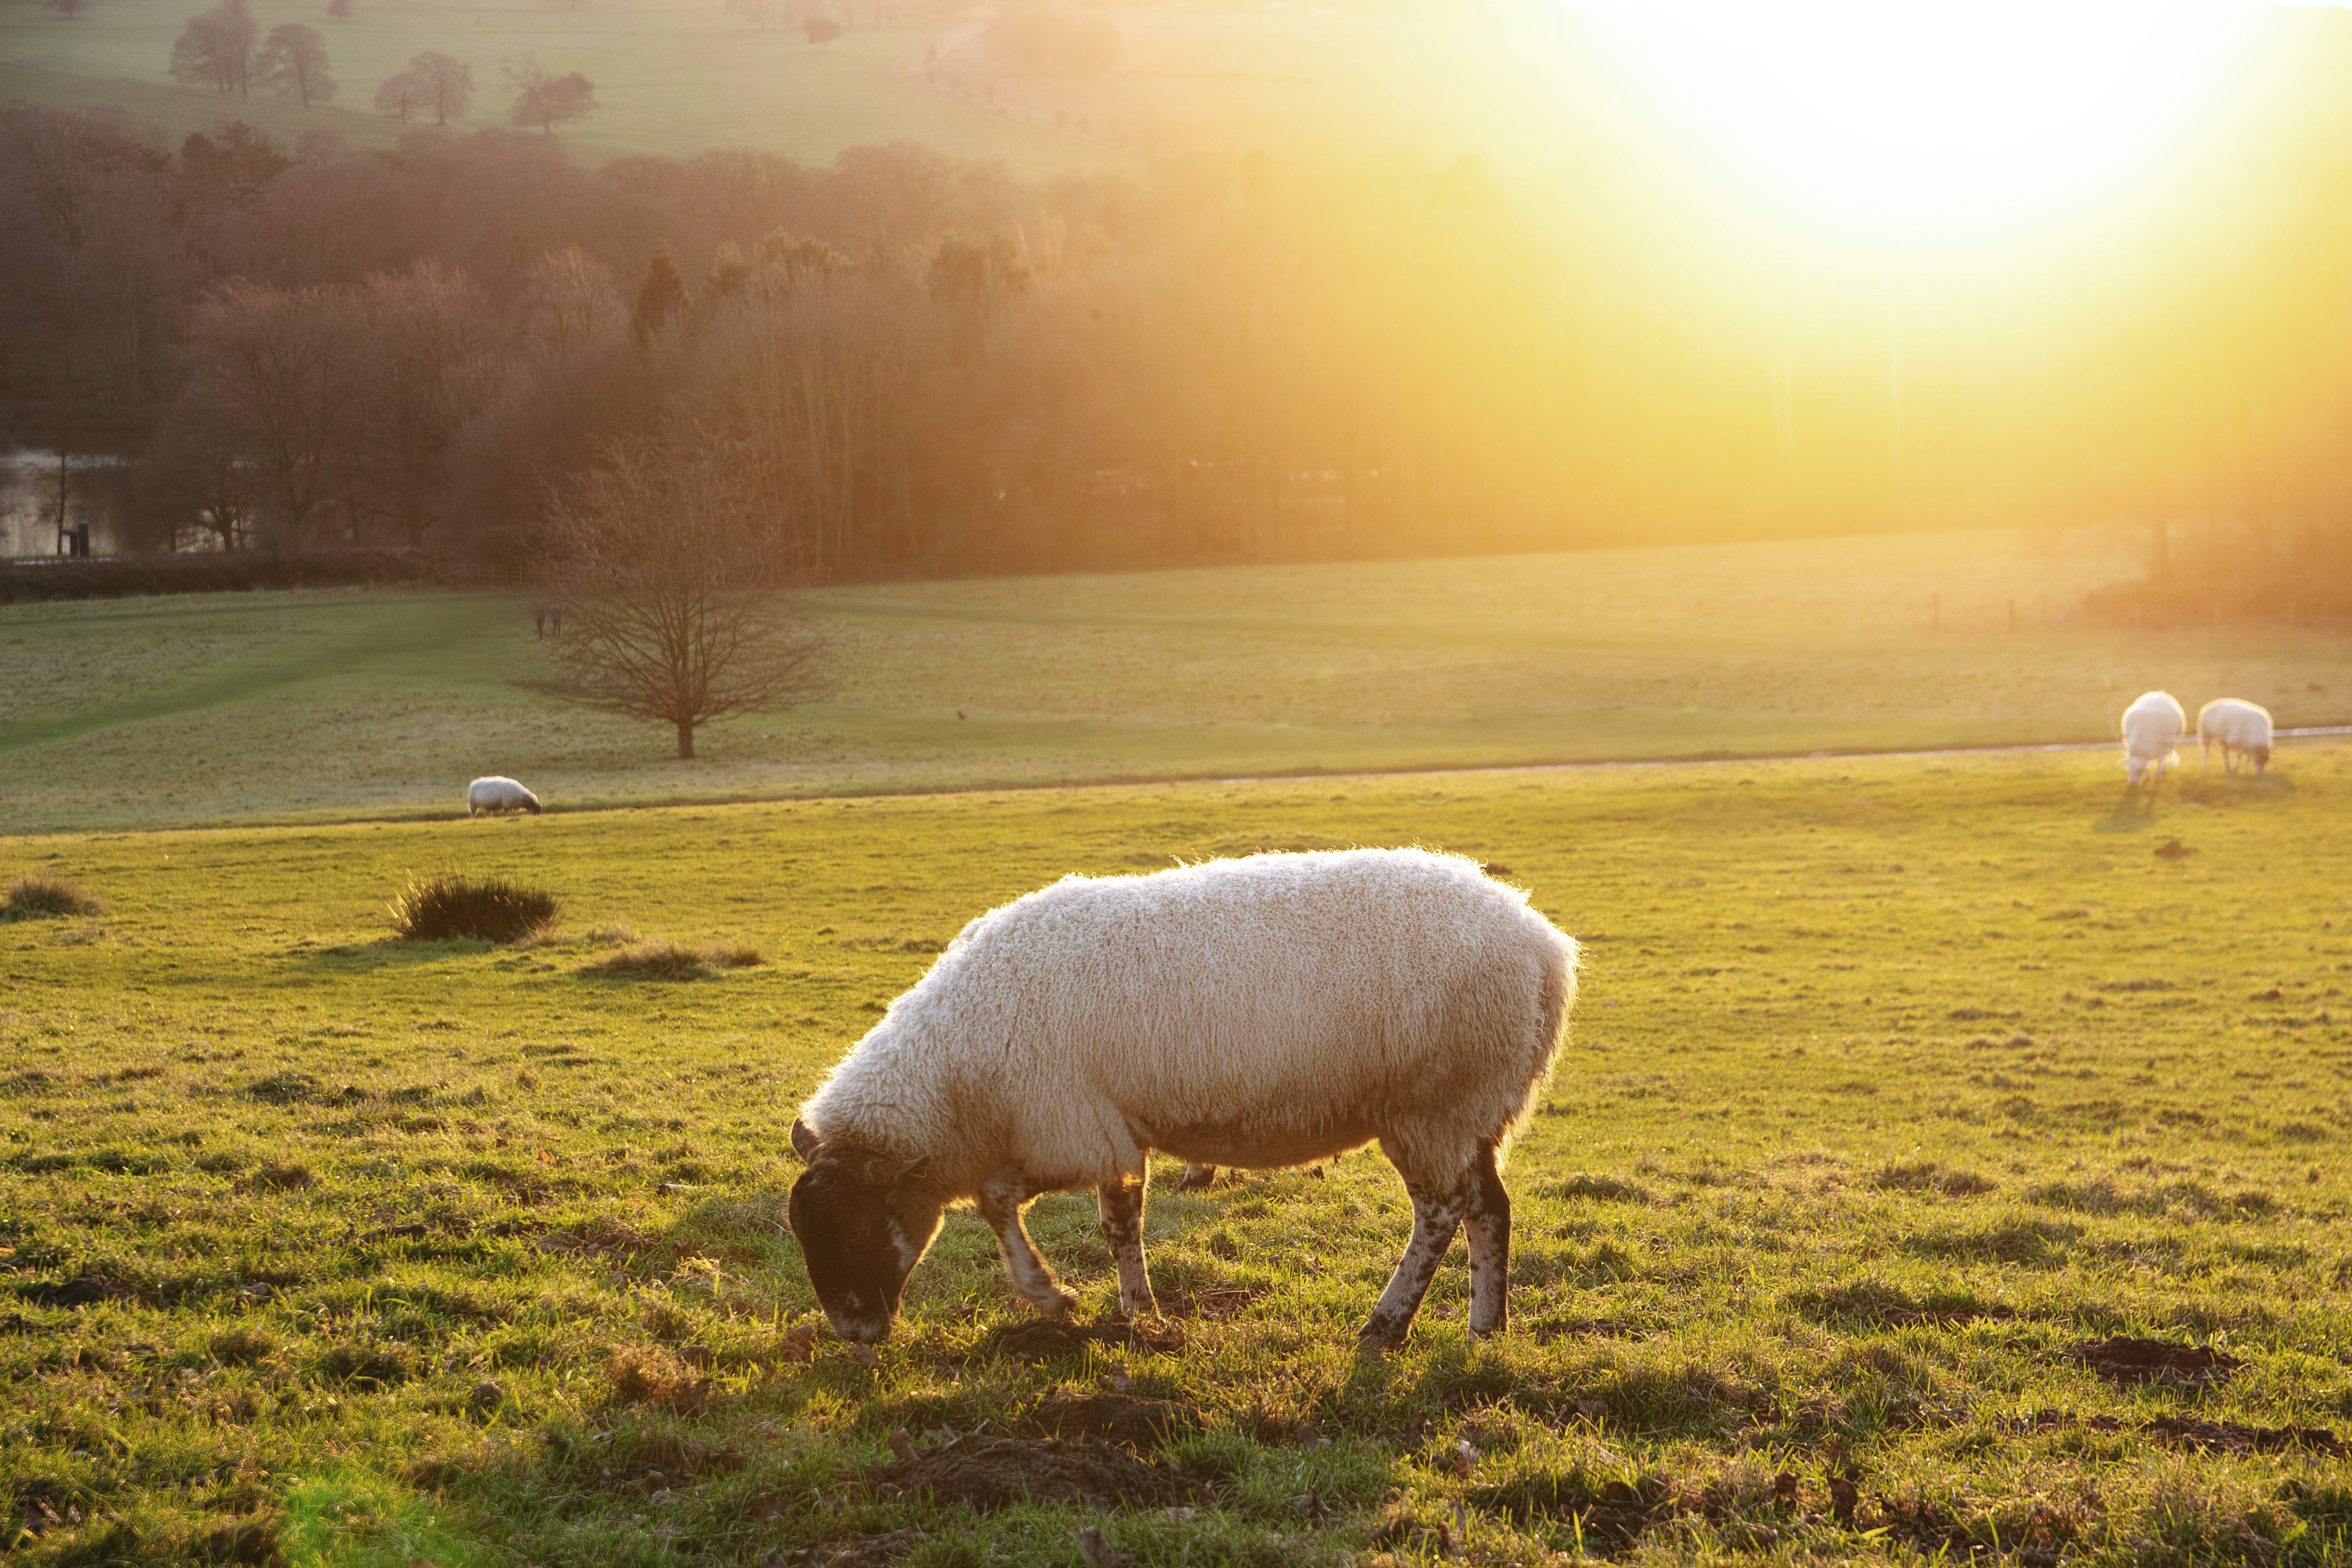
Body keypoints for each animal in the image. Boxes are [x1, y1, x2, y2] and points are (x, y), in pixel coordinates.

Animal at [466, 776, 543, 817]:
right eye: (536, 809)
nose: (538, 817)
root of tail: (474, 783)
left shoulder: (510, 806)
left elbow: (510, 814)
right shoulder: (506, 806)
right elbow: (507, 814)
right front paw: (507, 817)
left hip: (489, 807)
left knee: (489, 814)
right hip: (473, 804)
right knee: (473, 814)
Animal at [785, 848, 1578, 1350]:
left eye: (857, 1230)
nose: (854, 1338)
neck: (958, 1079)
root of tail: (1545, 947)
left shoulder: (1066, 1128)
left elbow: (1000, 1202)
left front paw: (1051, 1295)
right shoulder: (1106, 1129)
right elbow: (1119, 1224)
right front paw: (1138, 1314)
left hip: (1433, 1104)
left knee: (1441, 1214)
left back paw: (1387, 1327)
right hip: (1470, 1108)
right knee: (1488, 1209)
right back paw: (1486, 1327)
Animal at [2120, 691, 2186, 785]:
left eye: (2139, 769)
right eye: (2128, 768)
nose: (2132, 783)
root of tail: (2158, 692)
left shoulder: (2162, 747)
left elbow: (2161, 761)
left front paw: (2159, 777)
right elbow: (2147, 765)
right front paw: (2148, 777)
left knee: (2165, 758)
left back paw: (2163, 771)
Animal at [2197, 698, 2274, 776]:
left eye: (2267, 761)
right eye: (2259, 759)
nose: (2260, 773)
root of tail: (2208, 706)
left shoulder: (2249, 747)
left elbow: (2248, 758)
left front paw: (2246, 770)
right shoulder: (2237, 744)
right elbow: (2239, 756)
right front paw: (2235, 769)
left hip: (2224, 741)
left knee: (2224, 753)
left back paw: (2228, 768)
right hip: (2206, 736)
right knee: (2206, 752)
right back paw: (2206, 768)